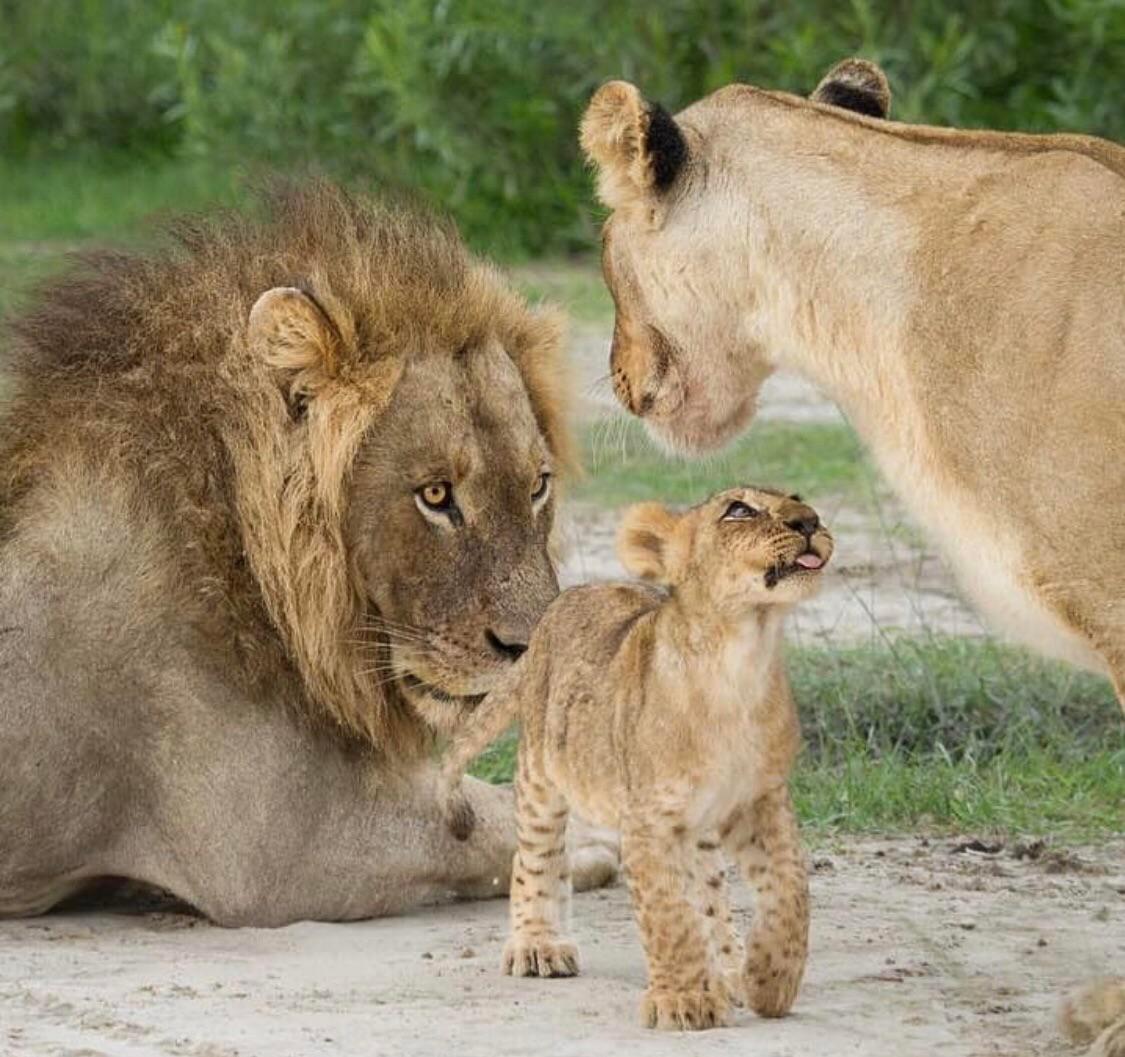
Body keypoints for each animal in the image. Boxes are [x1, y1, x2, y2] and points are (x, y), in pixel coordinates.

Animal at [0, 180, 615, 926]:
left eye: (536, 487)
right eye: (436, 494)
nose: (537, 648)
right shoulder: (278, 848)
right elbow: (472, 819)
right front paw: (596, 836)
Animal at [439, 487, 833, 1030]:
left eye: (797, 498)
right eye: (738, 510)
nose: (810, 521)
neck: (742, 657)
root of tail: (556, 609)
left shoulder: (759, 801)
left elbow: (789, 887)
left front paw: (767, 980)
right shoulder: (648, 817)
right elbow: (669, 914)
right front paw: (684, 1001)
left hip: (697, 826)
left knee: (710, 891)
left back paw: (728, 968)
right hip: (542, 774)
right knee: (536, 858)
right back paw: (538, 945)